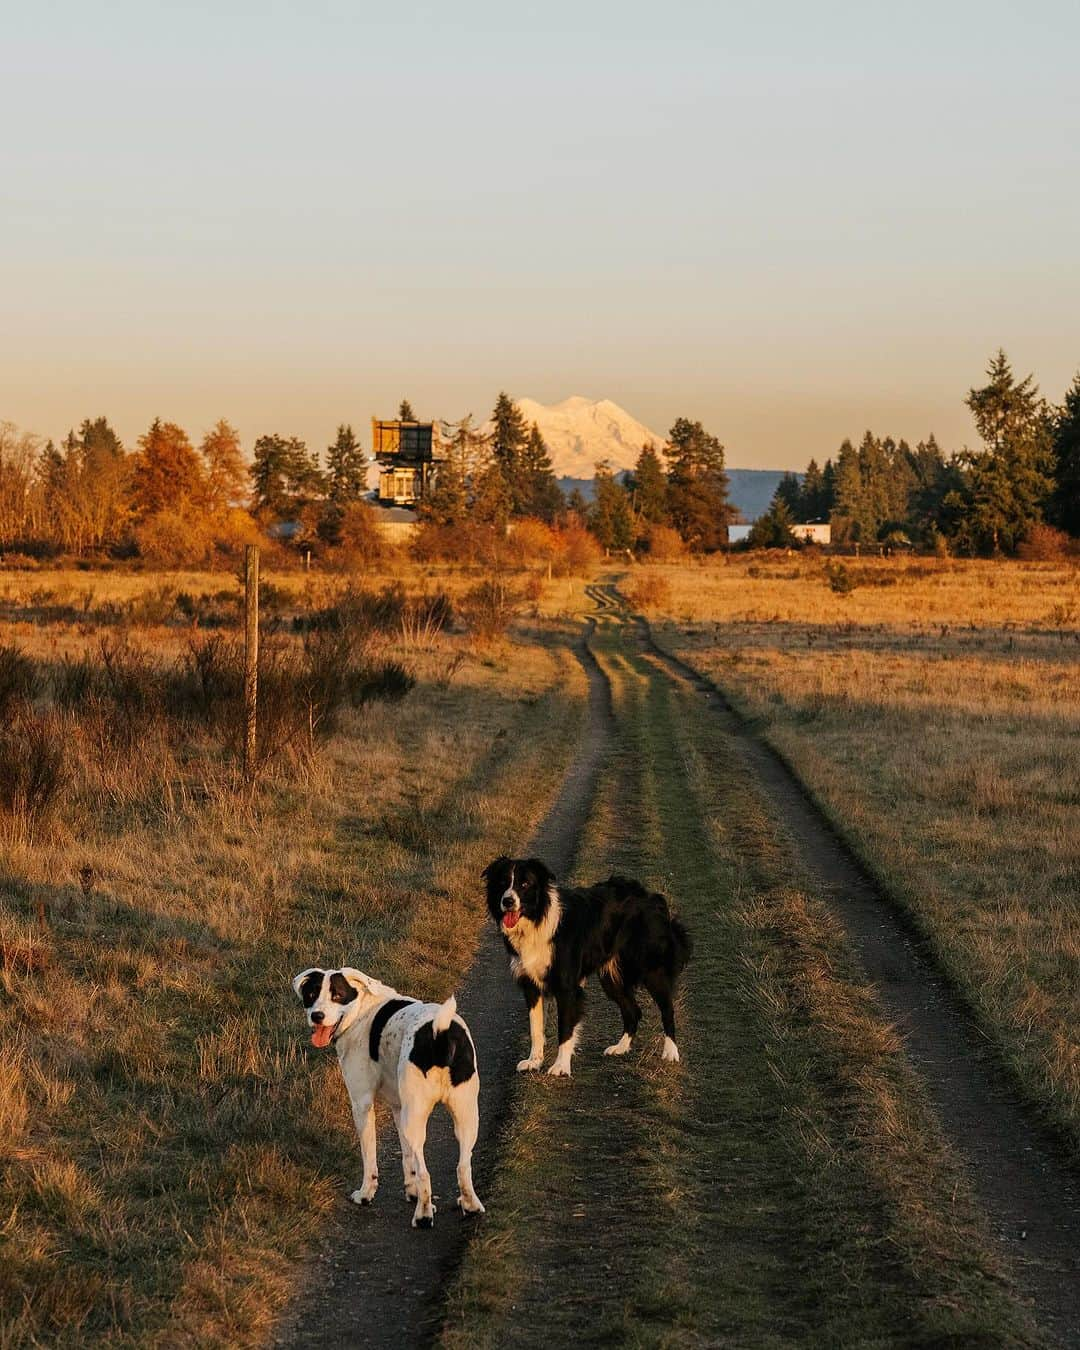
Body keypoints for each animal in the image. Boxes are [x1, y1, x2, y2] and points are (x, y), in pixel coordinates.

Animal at [480, 864, 691, 1074]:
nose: (507, 901)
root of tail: (653, 897)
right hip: (611, 978)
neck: (537, 920)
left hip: (651, 969)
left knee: (667, 1008)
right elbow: (535, 1028)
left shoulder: (566, 987)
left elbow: (565, 1027)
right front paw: (534, 1061)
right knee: (633, 1011)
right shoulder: (531, 985)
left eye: (525, 884)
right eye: (502, 882)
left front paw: (561, 1067)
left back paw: (670, 1052)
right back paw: (621, 1047)